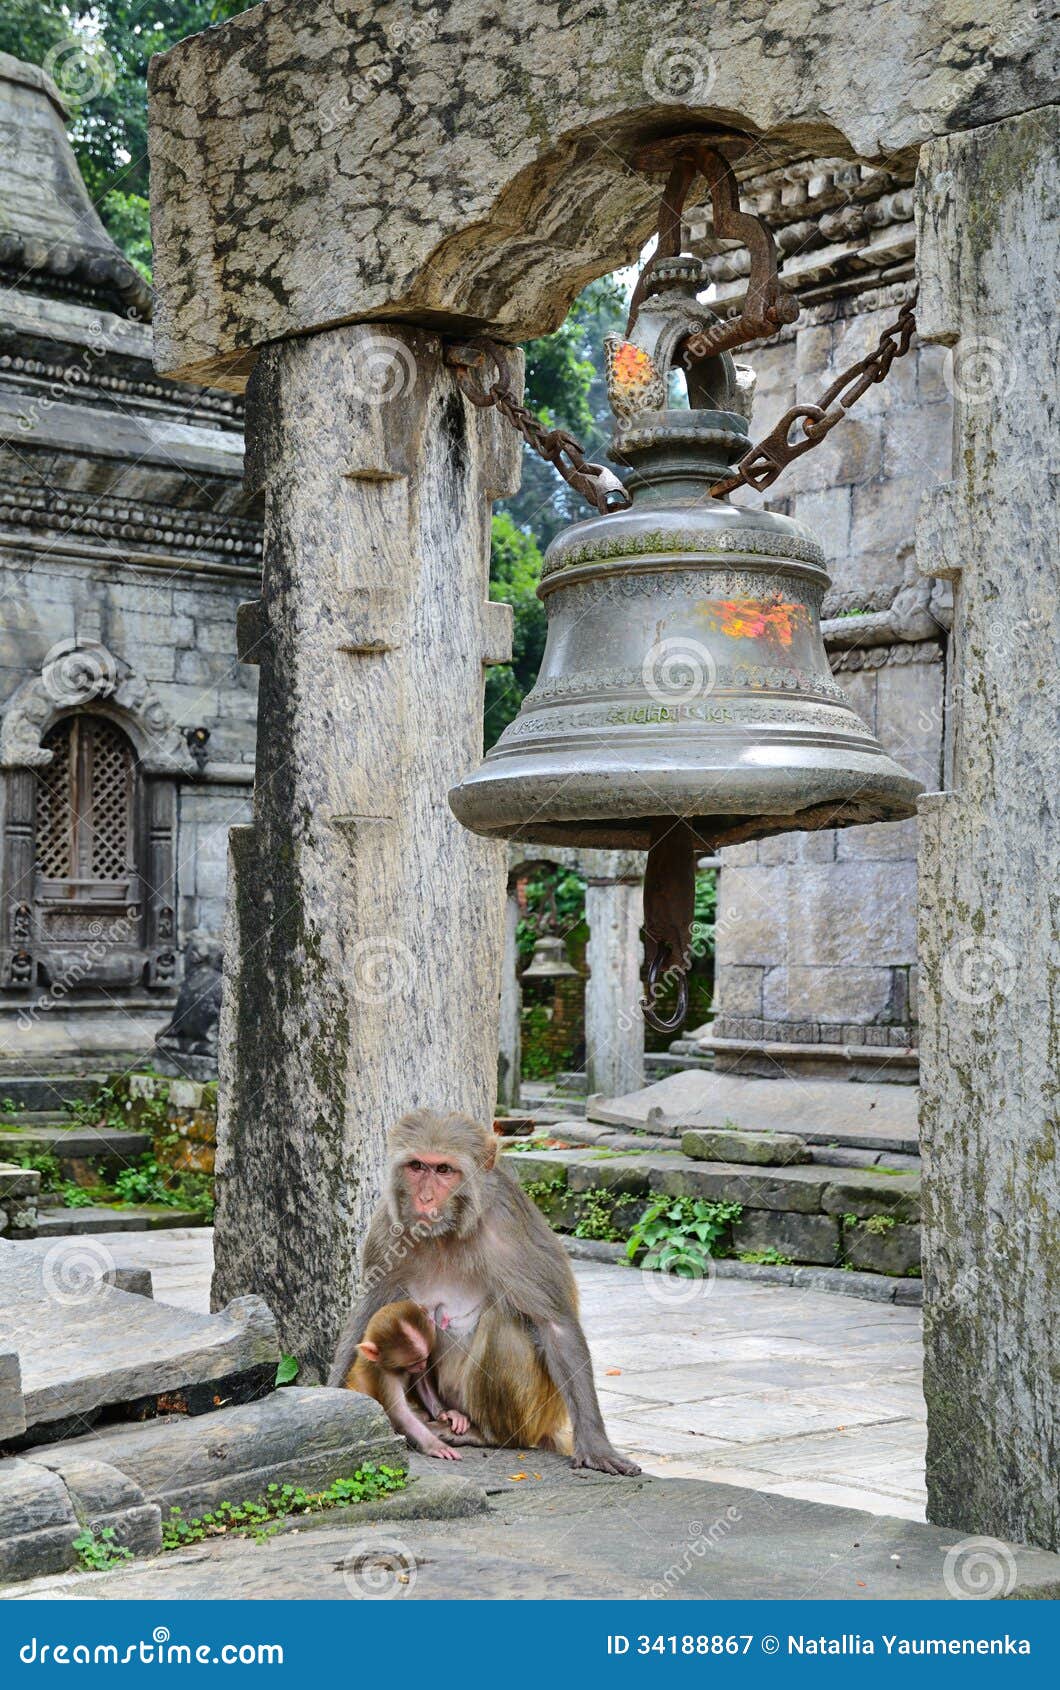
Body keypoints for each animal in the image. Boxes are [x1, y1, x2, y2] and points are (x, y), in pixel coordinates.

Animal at [342, 1298, 472, 1461]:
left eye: (424, 1359)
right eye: (412, 1363)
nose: (422, 1365)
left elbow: (422, 1383)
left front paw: (447, 1414)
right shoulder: (386, 1374)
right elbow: (400, 1413)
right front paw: (436, 1446)